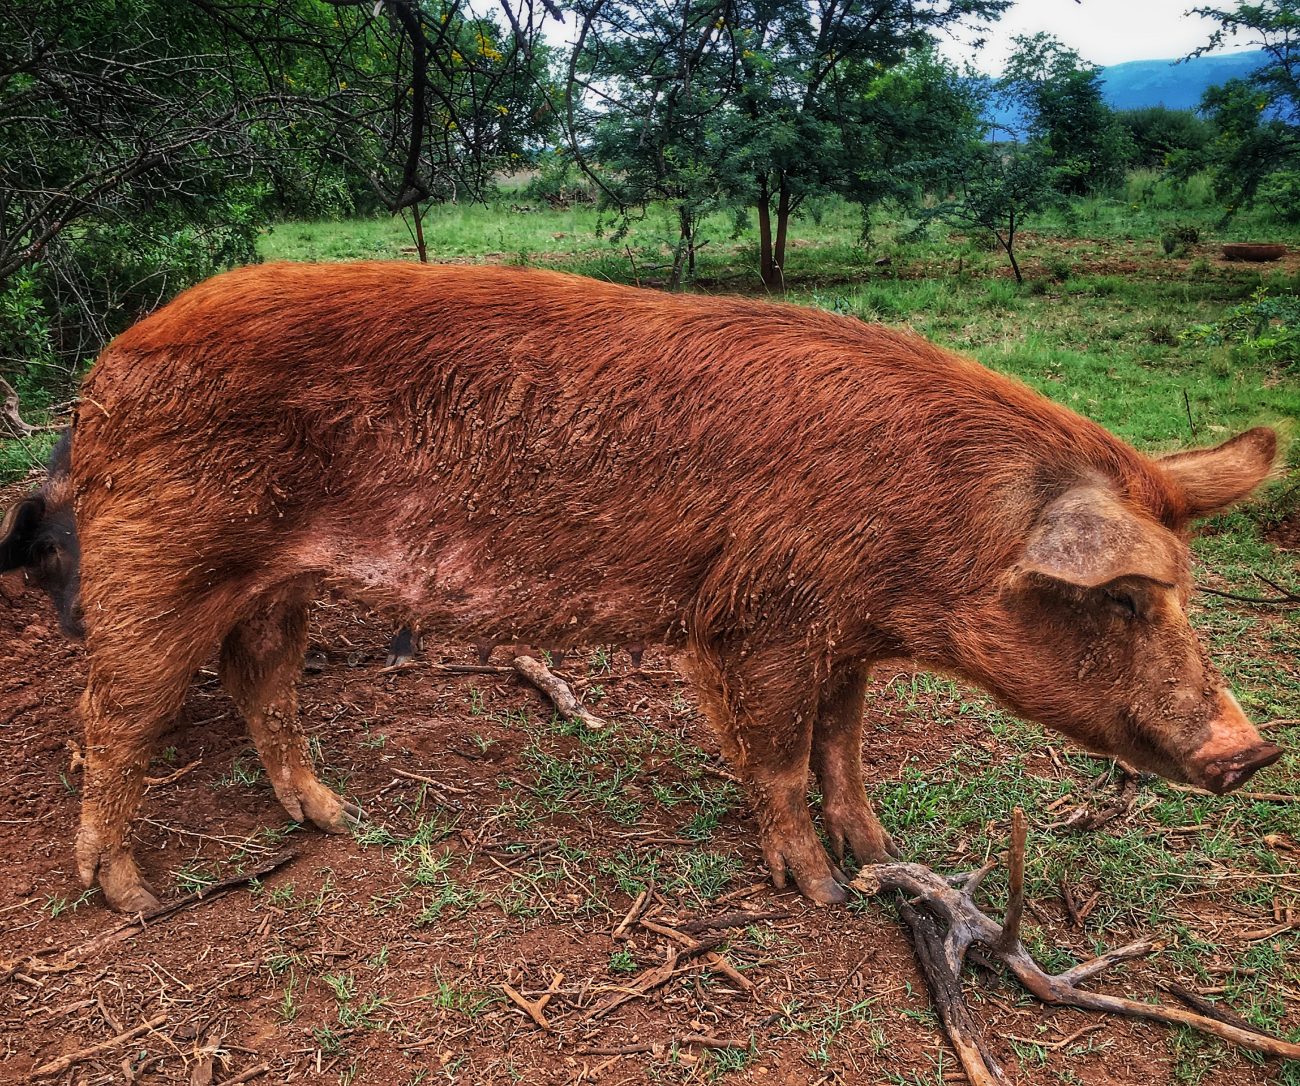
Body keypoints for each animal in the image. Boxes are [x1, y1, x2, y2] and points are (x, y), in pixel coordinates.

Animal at [60, 261, 1282, 913]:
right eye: (1122, 597)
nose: (1253, 751)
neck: (929, 530)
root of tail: (107, 360)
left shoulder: (847, 633)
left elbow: (845, 749)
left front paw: (881, 857)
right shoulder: (764, 614)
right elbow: (779, 755)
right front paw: (820, 894)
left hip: (277, 579)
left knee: (260, 680)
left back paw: (332, 819)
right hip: (153, 556)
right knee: (113, 715)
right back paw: (133, 896)